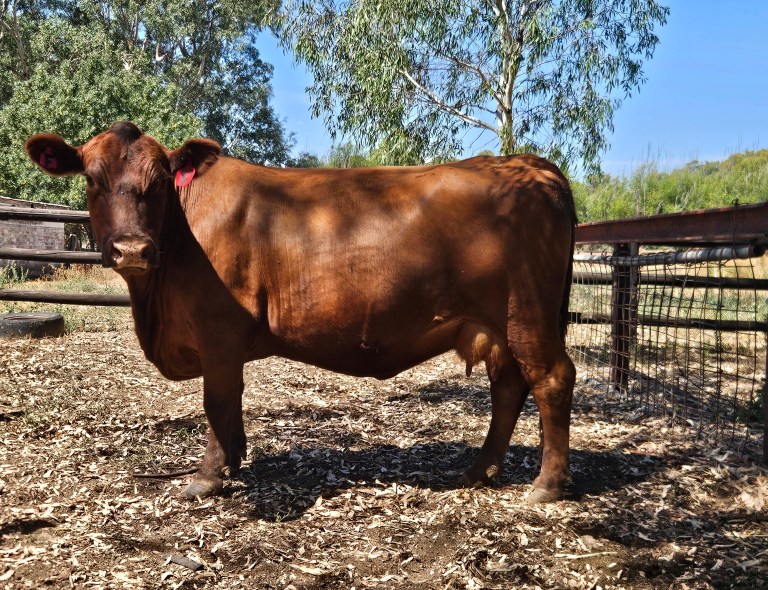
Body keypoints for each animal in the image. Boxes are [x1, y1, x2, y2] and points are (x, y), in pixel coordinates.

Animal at [25, 122, 576, 503]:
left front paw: (206, 478)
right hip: (500, 326)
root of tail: (529, 165)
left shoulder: (217, 332)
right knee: (508, 387)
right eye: (92, 180)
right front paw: (236, 462)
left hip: (528, 315)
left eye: (160, 181)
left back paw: (546, 485)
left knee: (551, 379)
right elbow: (232, 405)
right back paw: (478, 470)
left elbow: (217, 402)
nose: (133, 249)